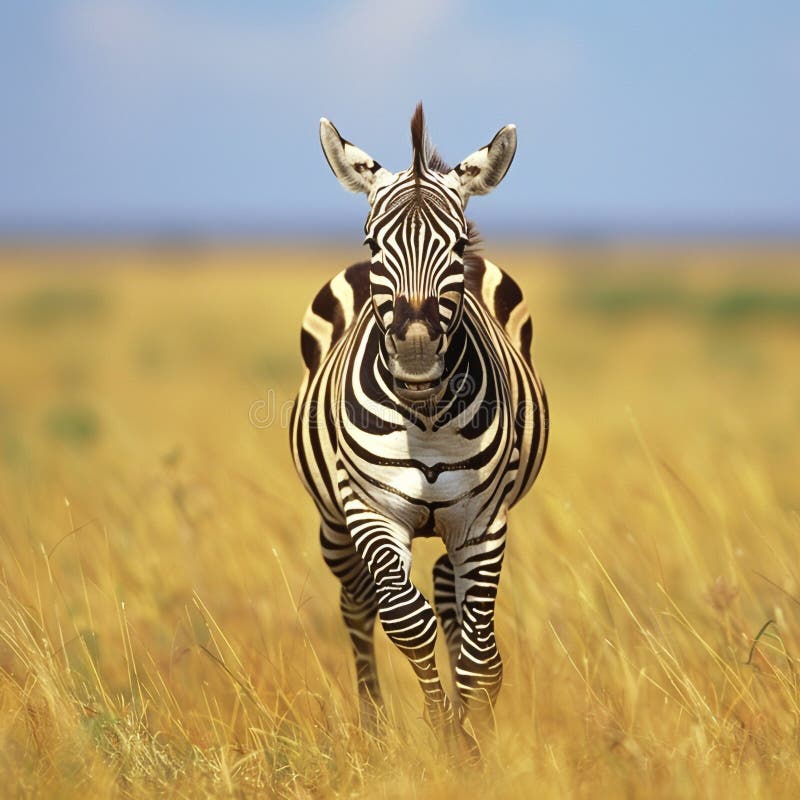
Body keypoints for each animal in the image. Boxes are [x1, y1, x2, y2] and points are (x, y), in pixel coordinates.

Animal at [290, 104, 548, 744]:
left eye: (455, 245)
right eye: (371, 242)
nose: (415, 353)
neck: (426, 415)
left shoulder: (483, 522)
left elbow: (478, 654)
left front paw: (470, 739)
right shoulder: (371, 510)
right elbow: (408, 622)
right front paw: (438, 729)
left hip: (455, 526)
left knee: (447, 593)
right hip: (334, 522)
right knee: (359, 604)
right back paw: (374, 728)